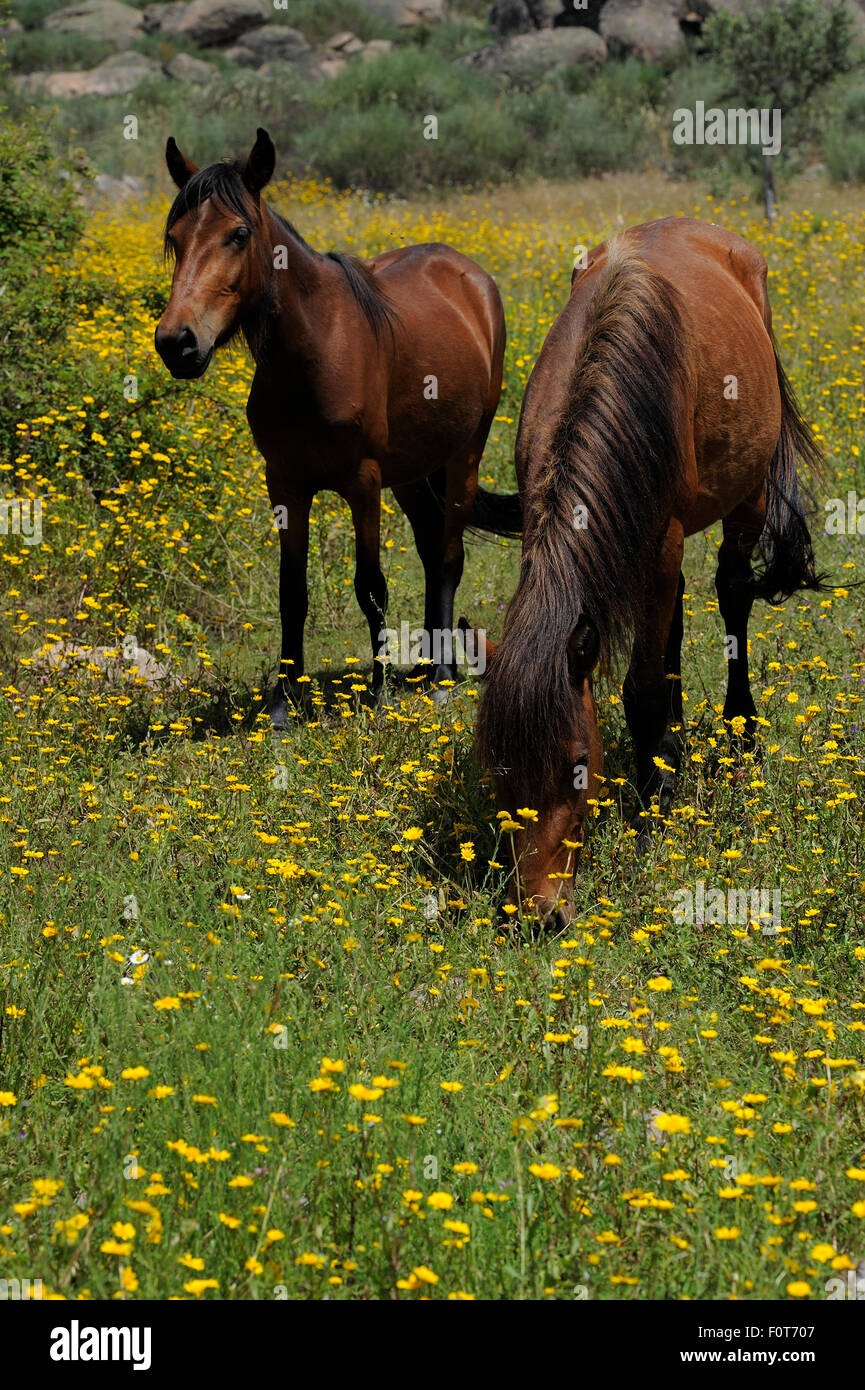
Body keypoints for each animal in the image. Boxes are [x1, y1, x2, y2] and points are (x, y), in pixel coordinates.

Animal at [154, 128, 519, 725]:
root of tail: (472, 277)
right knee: (429, 549)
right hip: (411, 474)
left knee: (447, 556)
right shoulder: (284, 484)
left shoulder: (362, 482)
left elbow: (370, 586)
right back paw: (426, 668)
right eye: (174, 237)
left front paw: (379, 691)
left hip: (464, 453)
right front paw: (284, 701)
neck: (313, 351)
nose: (176, 343)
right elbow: (292, 591)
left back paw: (441, 679)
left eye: (238, 235)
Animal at [476, 216, 822, 928]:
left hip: (745, 501)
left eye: (578, 765)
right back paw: (678, 748)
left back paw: (736, 737)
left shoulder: (660, 546)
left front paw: (652, 814)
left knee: (731, 596)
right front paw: (663, 768)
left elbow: (639, 690)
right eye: (498, 772)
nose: (540, 915)